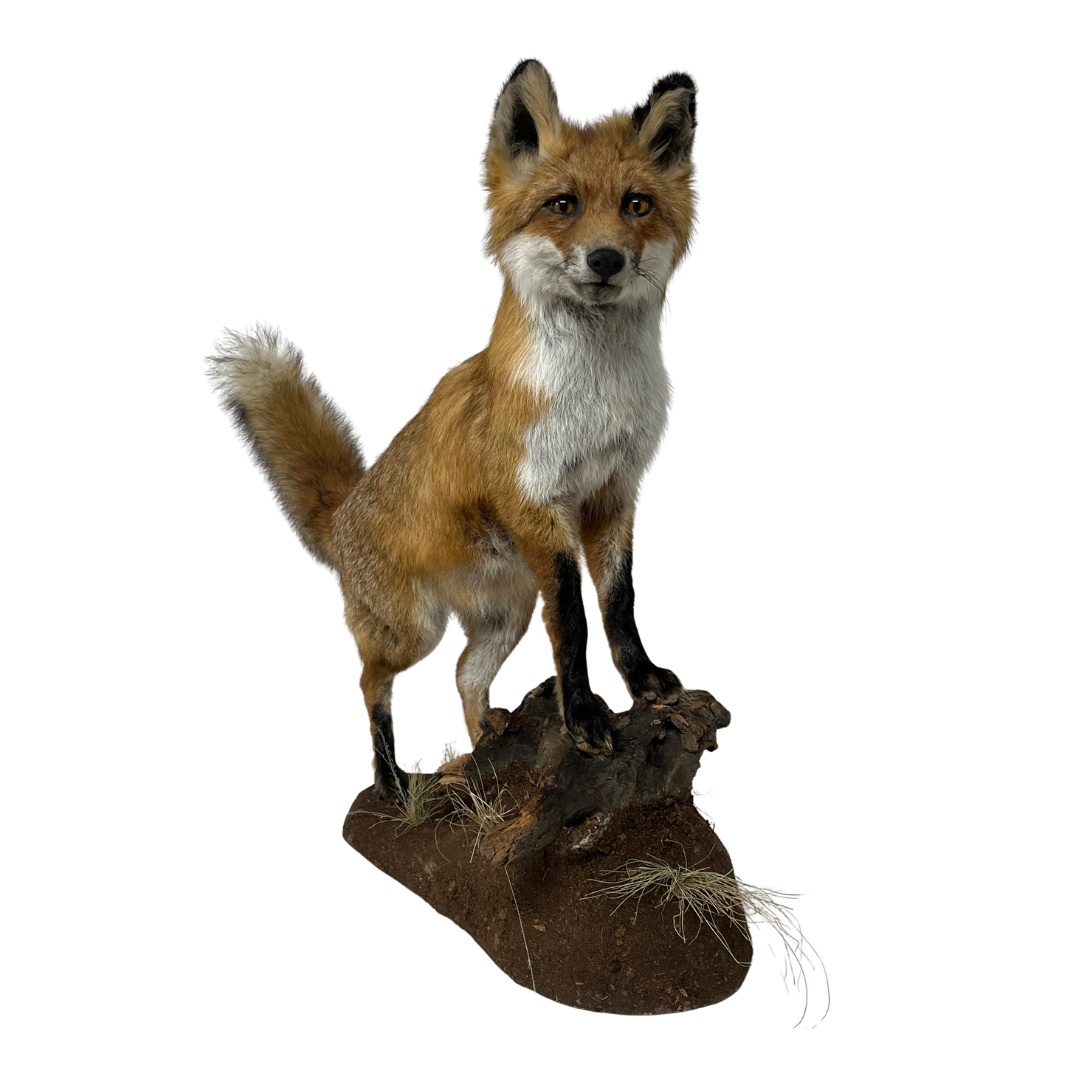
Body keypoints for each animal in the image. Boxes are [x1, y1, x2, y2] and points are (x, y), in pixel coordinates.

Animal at [209, 60, 699, 801]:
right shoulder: (537, 504)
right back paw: (391, 781)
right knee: (369, 682)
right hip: (413, 629)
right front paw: (584, 719)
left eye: (637, 205)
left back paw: (484, 757)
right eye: (563, 205)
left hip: (505, 615)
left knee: (466, 675)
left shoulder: (614, 493)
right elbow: (575, 622)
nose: (607, 259)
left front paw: (642, 684)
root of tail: (343, 512)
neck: (596, 399)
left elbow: (619, 606)